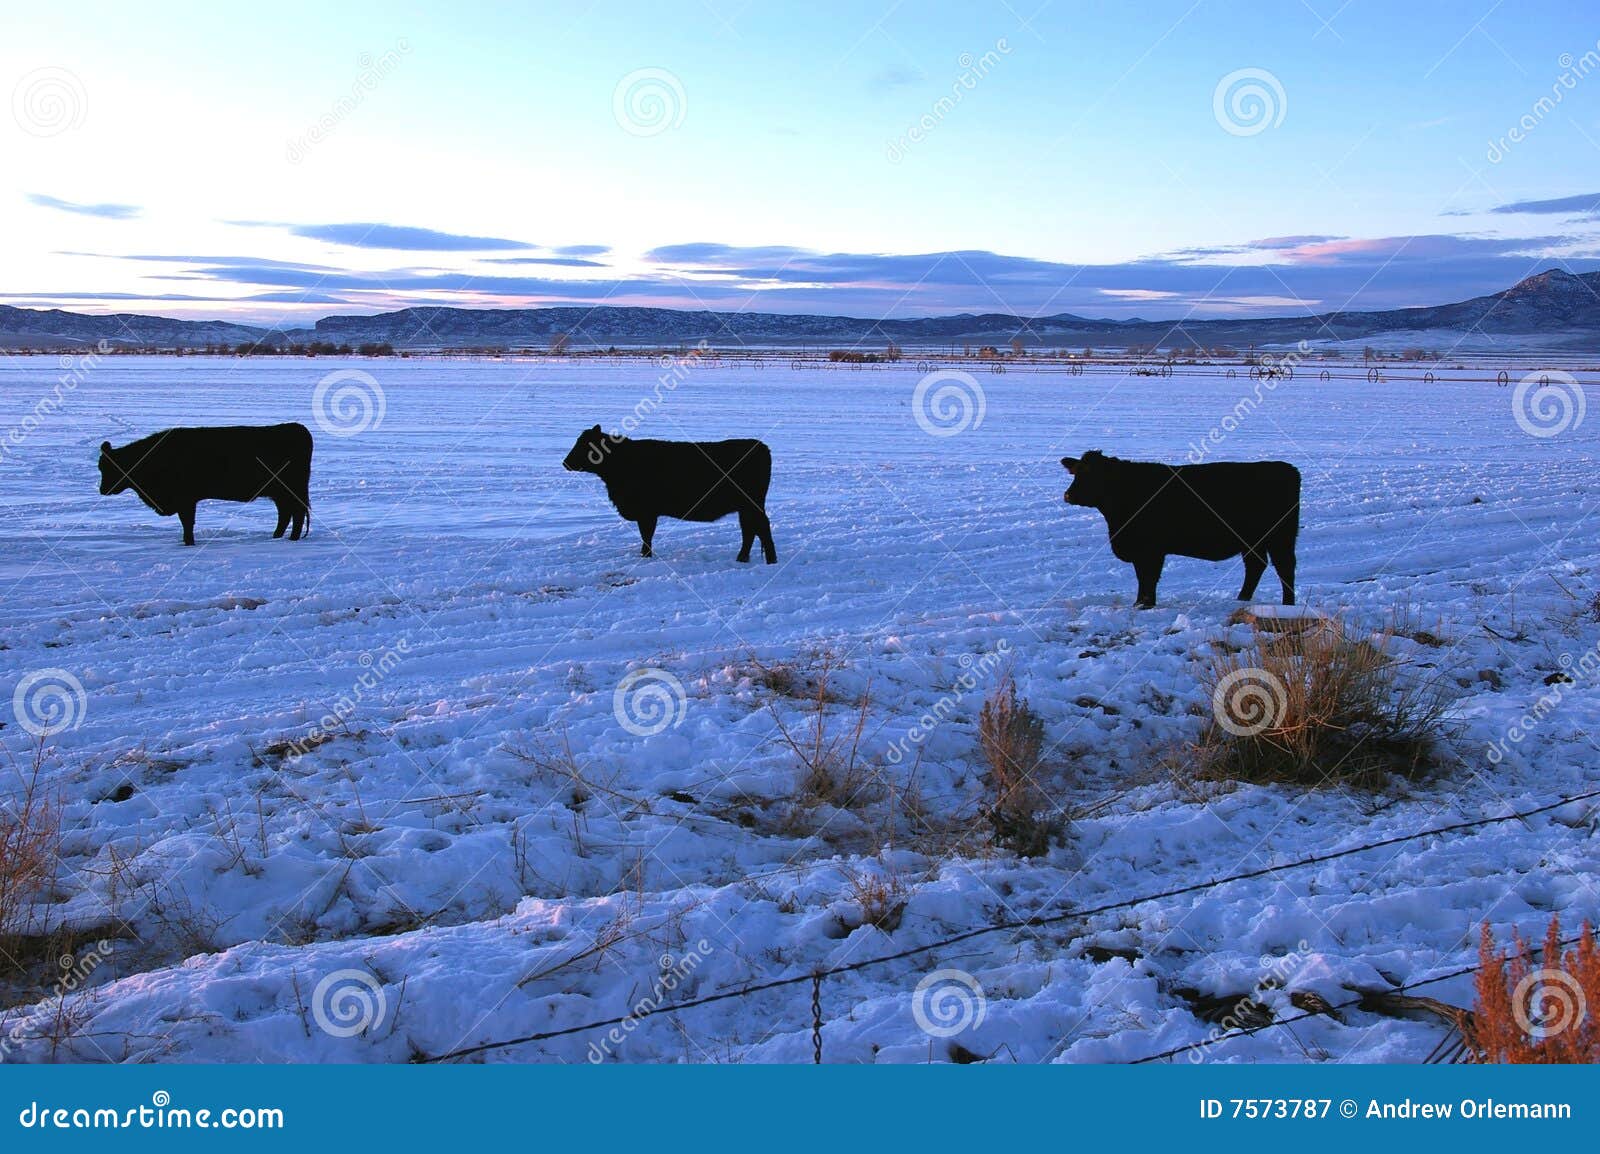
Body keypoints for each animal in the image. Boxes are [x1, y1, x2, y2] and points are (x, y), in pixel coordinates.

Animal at [98, 423, 313, 546]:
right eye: (101, 467)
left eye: (111, 468)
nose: (102, 490)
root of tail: (298, 429)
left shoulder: (186, 500)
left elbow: (187, 523)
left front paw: (189, 542)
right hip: (279, 493)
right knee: (286, 513)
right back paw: (276, 537)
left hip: (290, 490)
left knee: (296, 513)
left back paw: (291, 539)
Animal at [562, 425, 777, 564]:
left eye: (585, 445)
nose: (565, 462)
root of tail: (761, 446)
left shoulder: (647, 512)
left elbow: (646, 535)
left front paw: (645, 556)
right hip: (745, 507)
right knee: (749, 529)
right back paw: (742, 558)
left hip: (751, 504)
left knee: (760, 528)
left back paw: (770, 560)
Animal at [1061, 450, 1299, 609]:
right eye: (1076, 472)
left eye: (1093, 474)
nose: (1068, 495)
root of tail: (1287, 468)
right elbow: (1142, 576)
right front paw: (1140, 603)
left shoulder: (1150, 550)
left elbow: (1148, 576)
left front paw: (1145, 604)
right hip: (1252, 541)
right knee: (1256, 565)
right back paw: (1242, 599)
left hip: (1281, 537)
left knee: (1284, 567)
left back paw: (1287, 604)